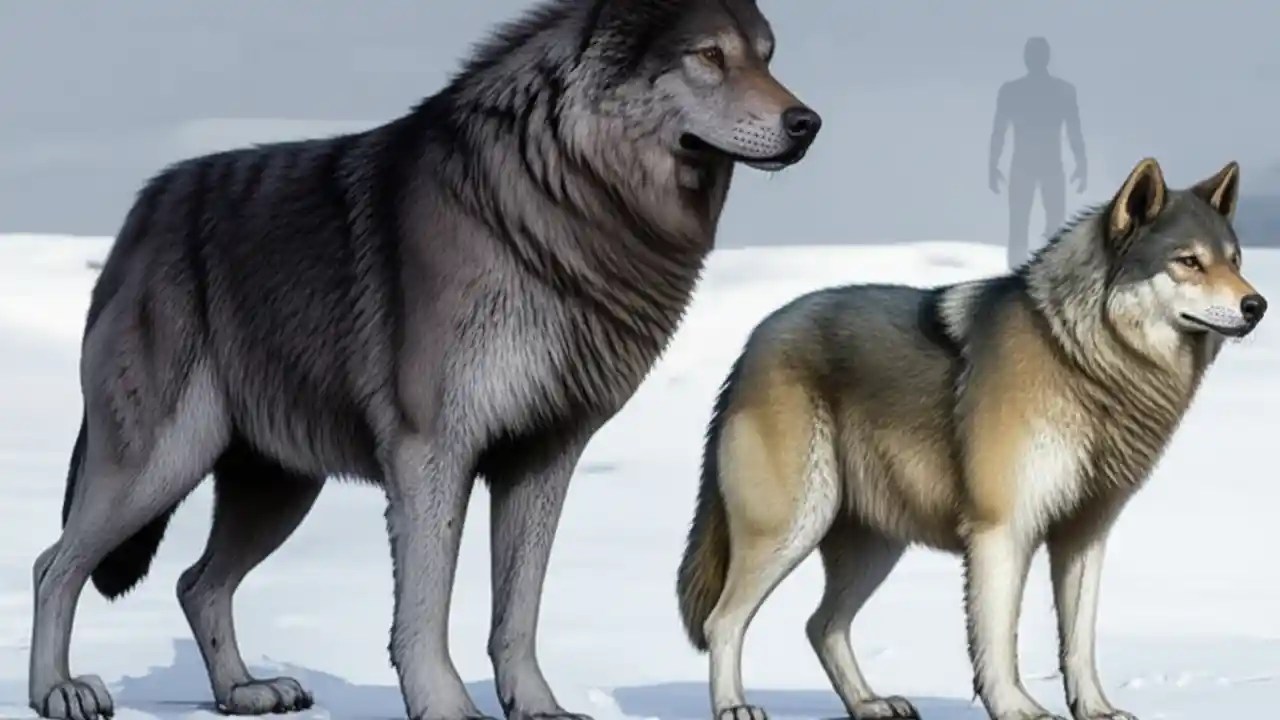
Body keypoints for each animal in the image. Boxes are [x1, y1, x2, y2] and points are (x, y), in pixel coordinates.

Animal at [27, 2, 822, 719]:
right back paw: (58, 693)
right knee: (53, 565)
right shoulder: (432, 452)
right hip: (158, 464)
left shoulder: (544, 457)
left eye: (767, 56)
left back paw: (243, 692)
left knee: (197, 583)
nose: (806, 123)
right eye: (710, 56)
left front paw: (538, 708)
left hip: (279, 489)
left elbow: (519, 611)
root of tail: (146, 206)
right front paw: (443, 705)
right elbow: (424, 605)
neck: (553, 206)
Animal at [676, 157, 1265, 720]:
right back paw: (734, 706)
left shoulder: (1085, 535)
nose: (1257, 306)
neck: (1083, 361)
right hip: (793, 527)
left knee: (821, 625)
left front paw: (1096, 710)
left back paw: (870, 703)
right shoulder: (1001, 529)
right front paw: (1019, 710)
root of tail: (753, 344)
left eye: (1235, 261)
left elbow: (1079, 642)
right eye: (1188, 261)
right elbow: (997, 639)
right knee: (723, 621)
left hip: (874, 546)